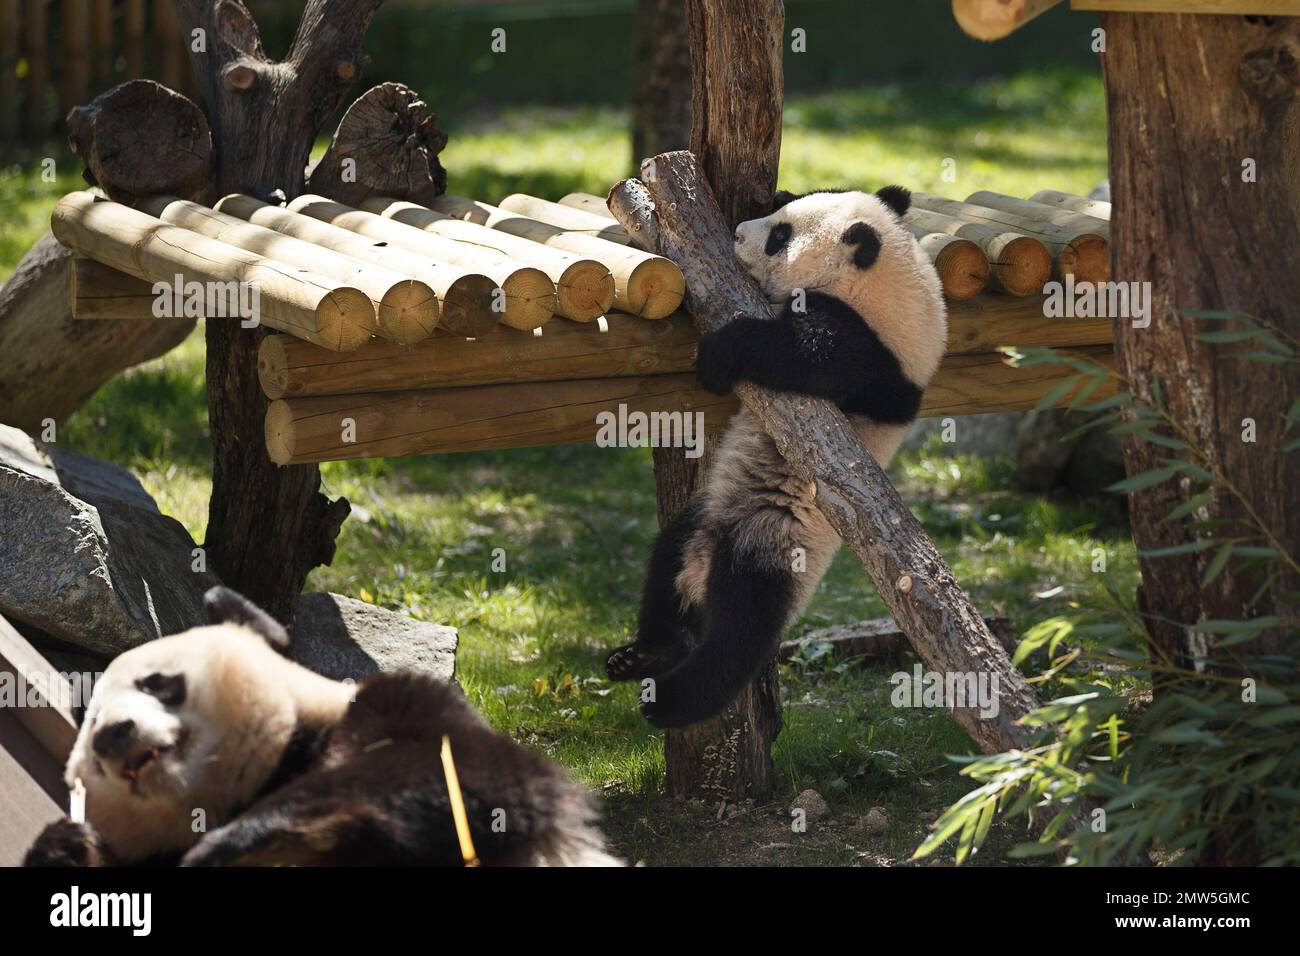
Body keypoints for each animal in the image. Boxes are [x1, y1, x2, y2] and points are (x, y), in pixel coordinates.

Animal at [25, 587, 621, 867]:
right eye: (90, 728)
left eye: (154, 682)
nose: (111, 735)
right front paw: (66, 846)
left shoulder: (395, 705)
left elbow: (470, 776)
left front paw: (240, 836)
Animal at [605, 187, 947, 728]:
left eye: (780, 235)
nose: (738, 231)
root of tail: (704, 565)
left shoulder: (875, 356)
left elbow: (806, 355)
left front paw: (719, 354)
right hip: (707, 513)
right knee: (666, 563)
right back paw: (645, 654)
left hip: (776, 540)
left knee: (742, 628)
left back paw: (669, 700)